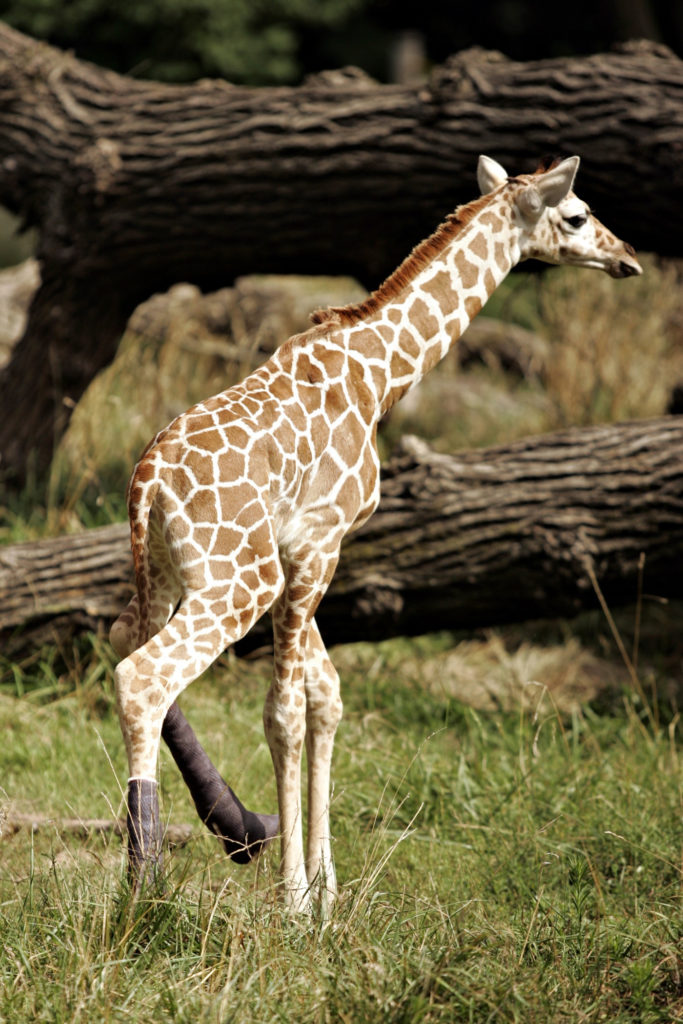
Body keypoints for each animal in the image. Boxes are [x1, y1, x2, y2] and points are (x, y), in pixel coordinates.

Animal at [110, 154, 641, 911]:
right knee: (144, 676)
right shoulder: (315, 543)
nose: (626, 257)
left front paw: (326, 888)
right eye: (576, 215)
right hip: (237, 578)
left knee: (125, 639)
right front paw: (296, 899)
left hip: (167, 572)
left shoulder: (305, 549)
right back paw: (146, 888)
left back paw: (231, 828)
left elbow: (326, 697)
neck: (381, 374)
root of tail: (150, 480)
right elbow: (287, 711)